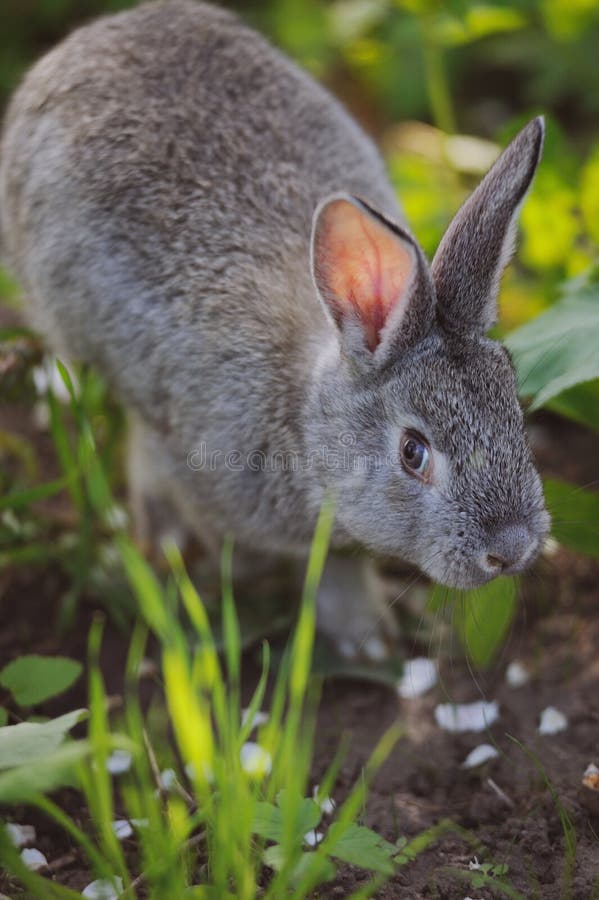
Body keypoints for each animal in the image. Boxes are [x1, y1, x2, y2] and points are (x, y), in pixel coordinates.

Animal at [0, 0, 550, 659]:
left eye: (514, 409)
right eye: (413, 453)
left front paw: (371, 638)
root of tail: (95, 37)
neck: (302, 424)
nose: (511, 550)